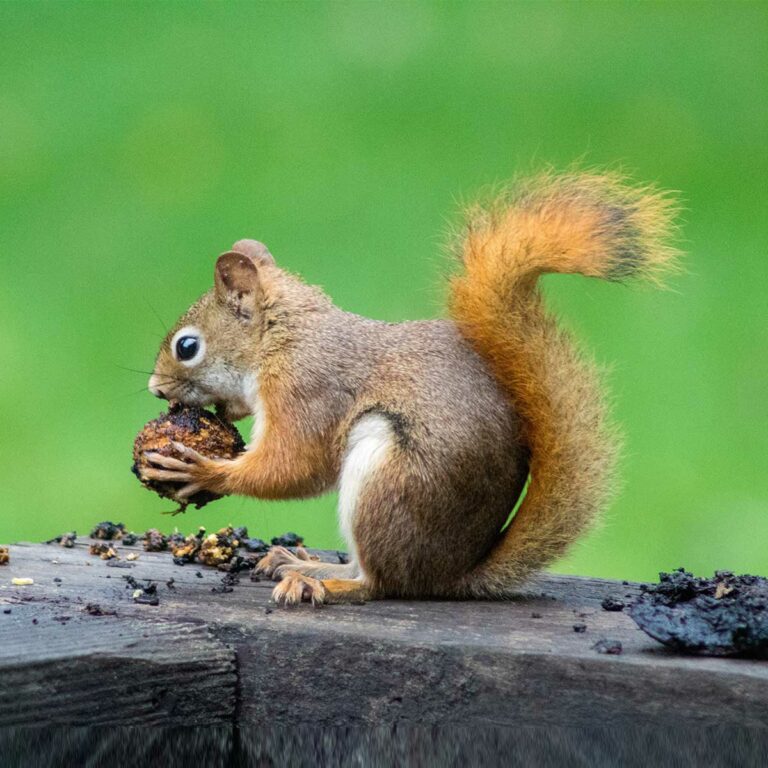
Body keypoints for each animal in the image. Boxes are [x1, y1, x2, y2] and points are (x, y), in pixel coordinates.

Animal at [142, 171, 678, 606]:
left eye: (187, 347)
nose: (154, 389)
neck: (284, 338)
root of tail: (450, 575)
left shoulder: (307, 390)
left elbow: (294, 466)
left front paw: (203, 469)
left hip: (386, 479)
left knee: (380, 583)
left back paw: (322, 582)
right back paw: (301, 562)